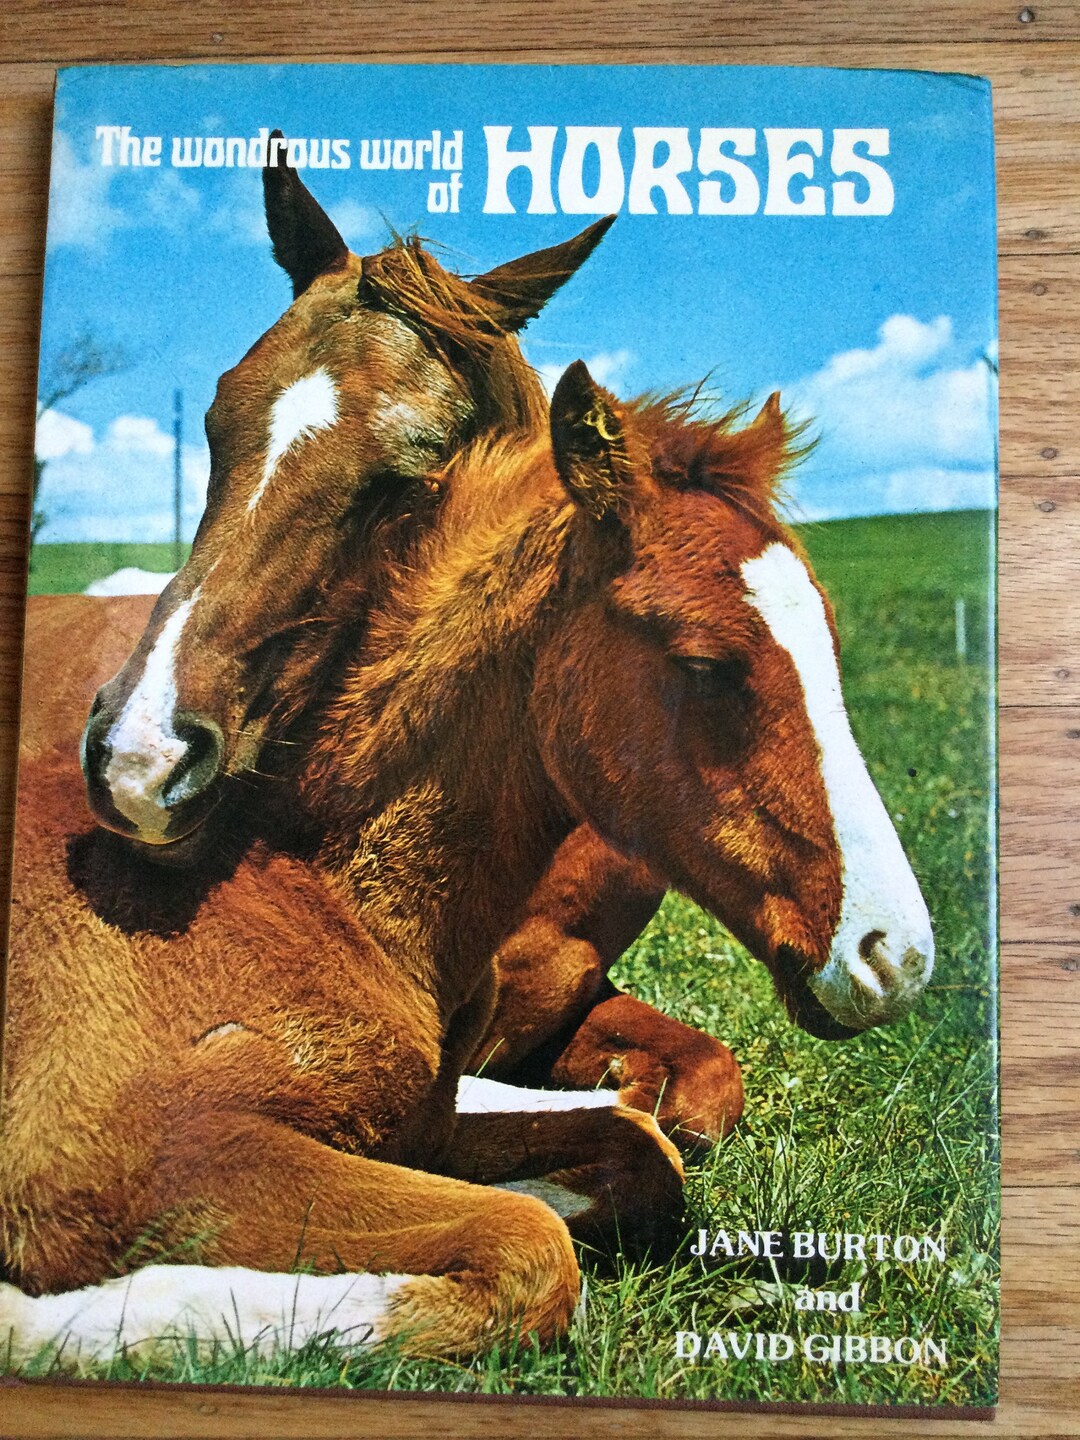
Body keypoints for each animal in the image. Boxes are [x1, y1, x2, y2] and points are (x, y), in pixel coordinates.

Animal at [1, 360, 933, 1363]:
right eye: (704, 662)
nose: (898, 955)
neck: (312, 893)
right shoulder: (119, 1153)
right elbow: (528, 1245)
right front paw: (64, 1325)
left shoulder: (423, 1129)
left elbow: (637, 1153)